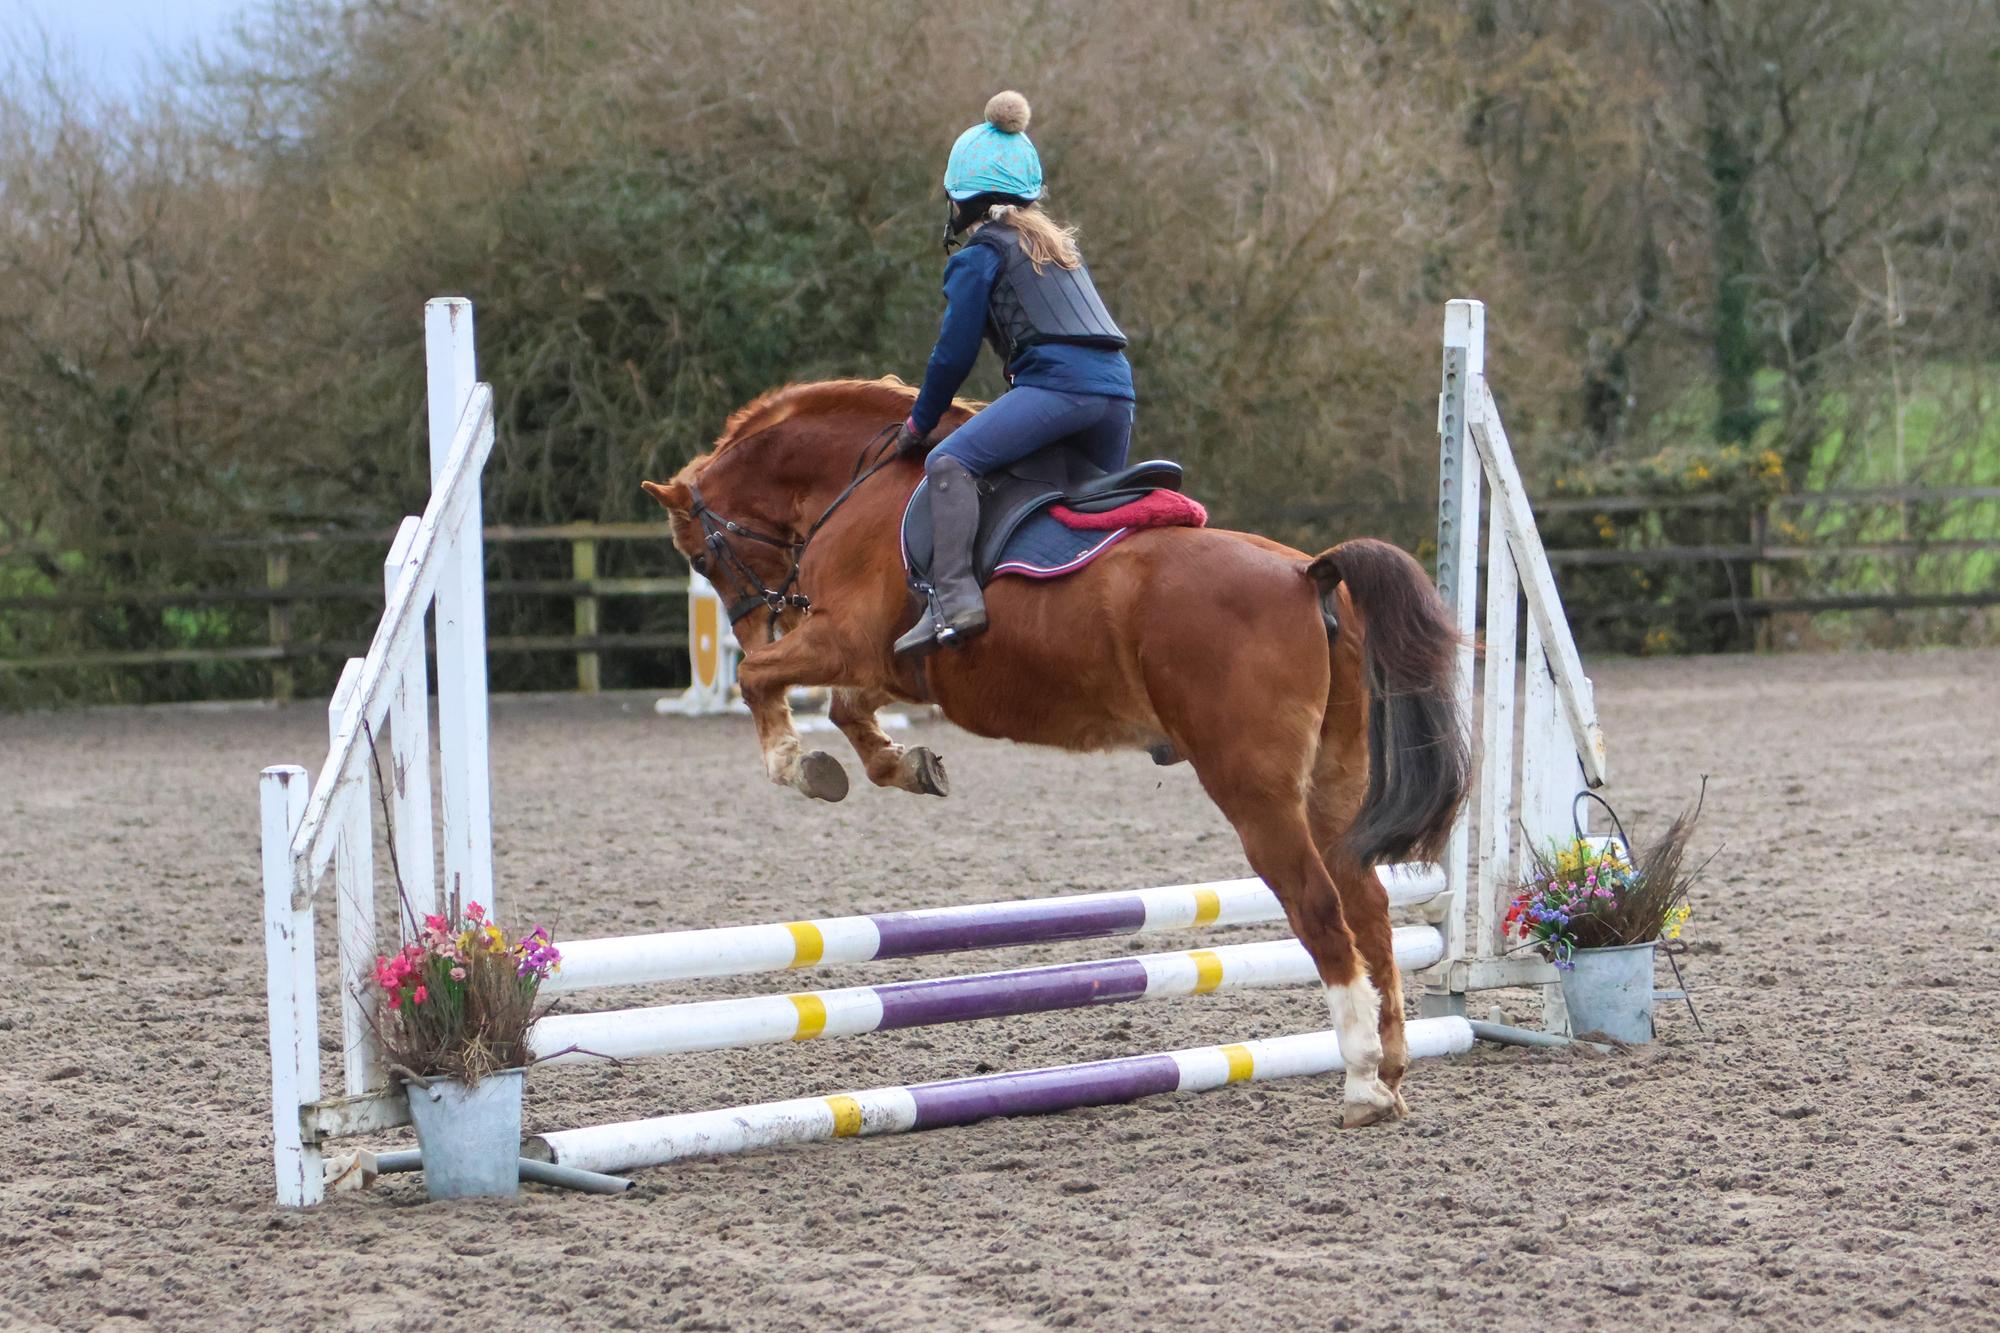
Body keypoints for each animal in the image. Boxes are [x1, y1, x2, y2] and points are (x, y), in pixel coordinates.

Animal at [641, 378, 1471, 1127]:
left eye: (702, 556)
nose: (761, 620)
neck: (860, 483)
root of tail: (1309, 573)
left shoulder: (844, 640)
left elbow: (759, 679)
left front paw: (799, 763)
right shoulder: (880, 662)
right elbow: (842, 709)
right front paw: (903, 765)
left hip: (1253, 786)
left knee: (1320, 908)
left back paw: (1361, 1081)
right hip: (1334, 777)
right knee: (1368, 904)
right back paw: (1393, 1064)